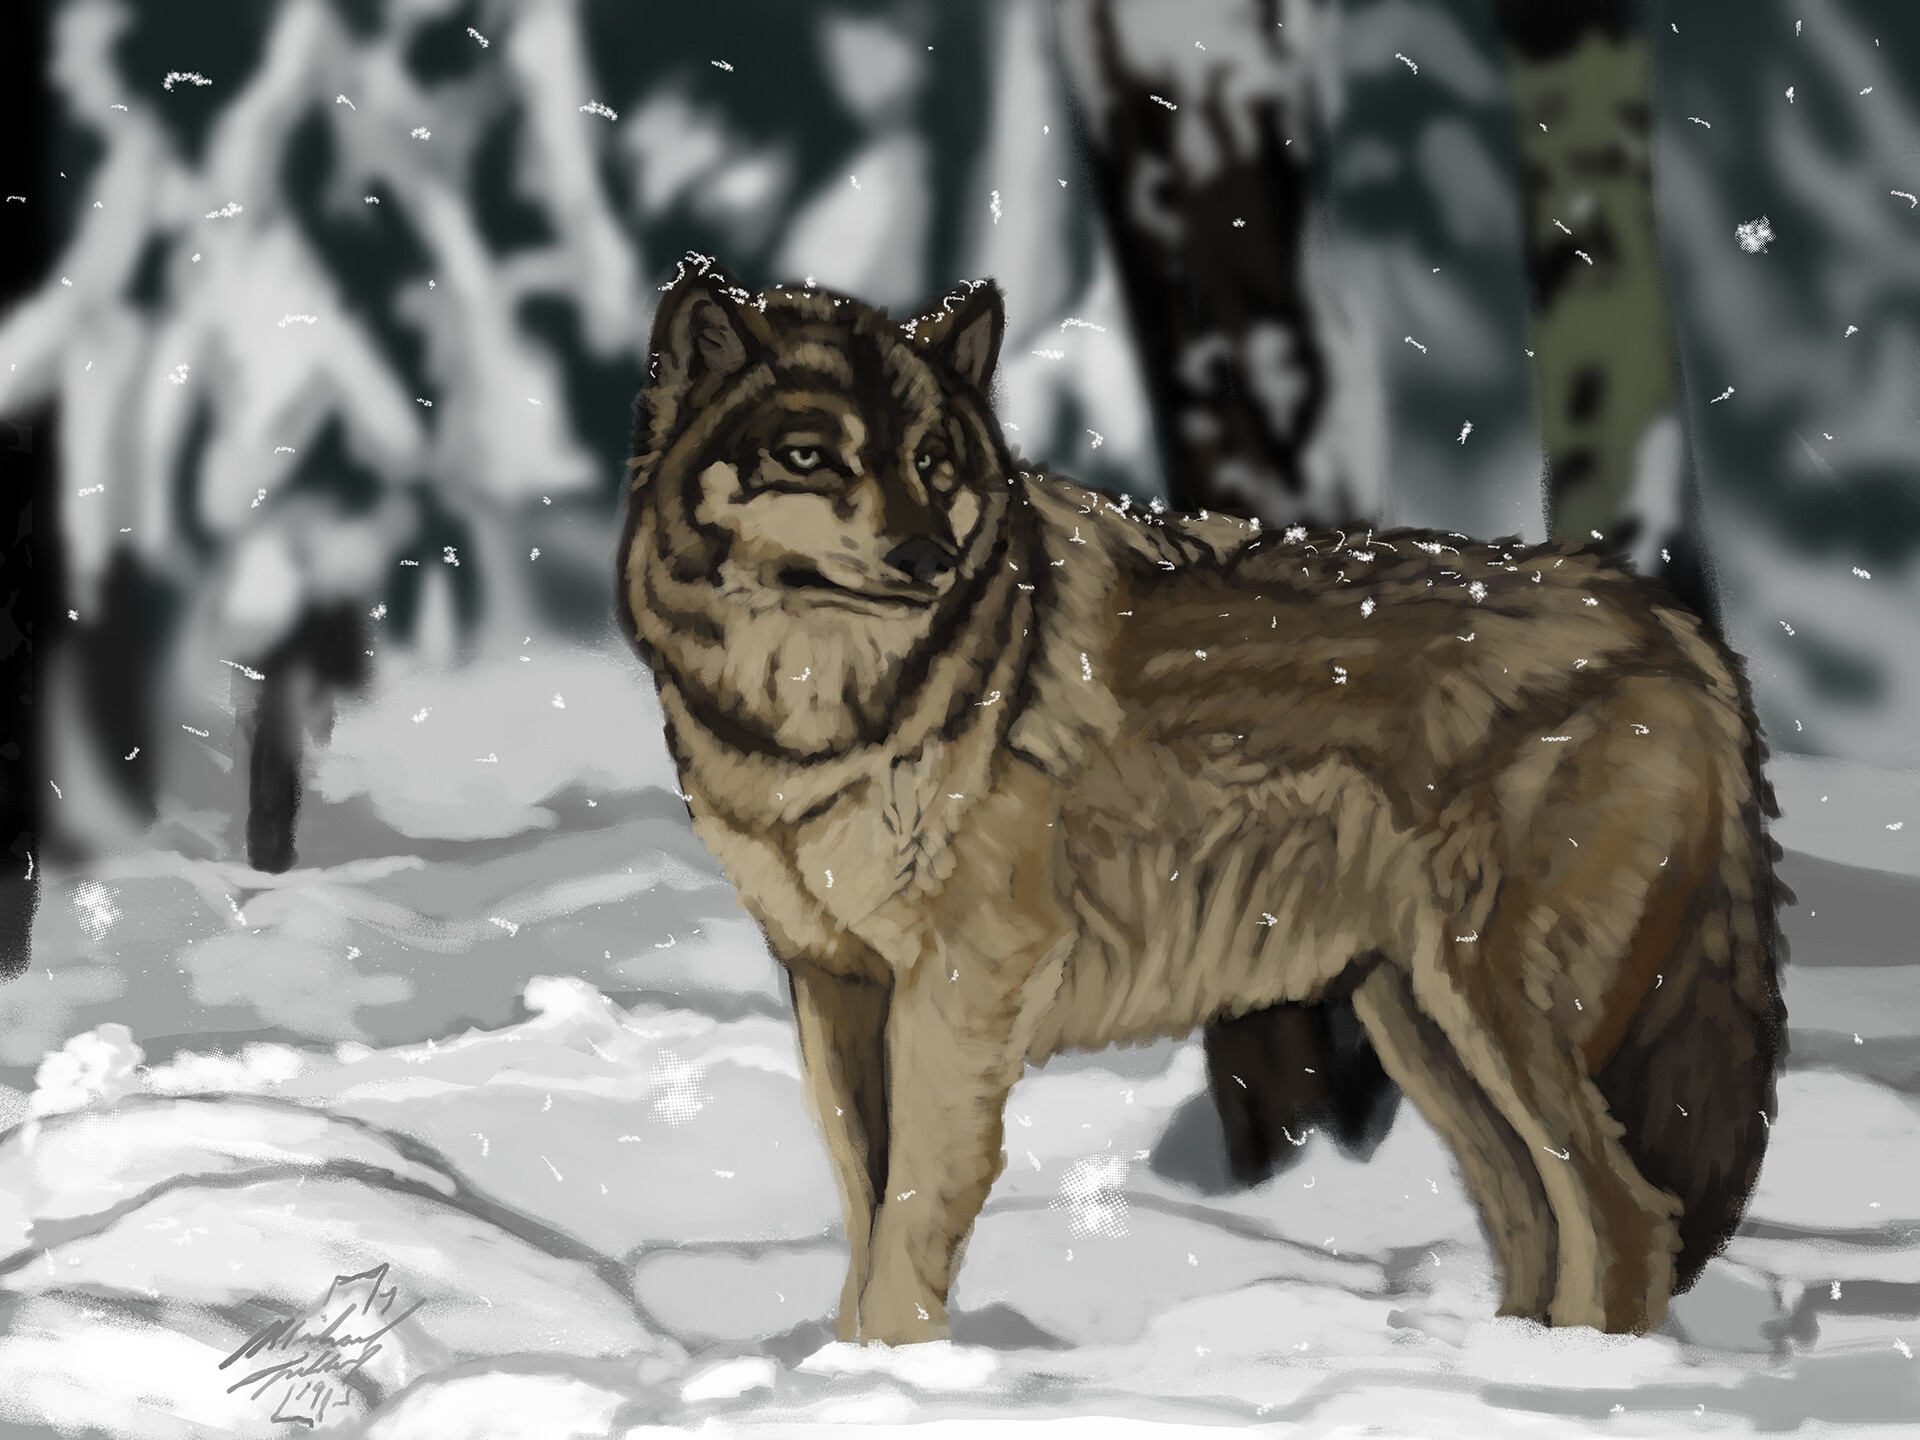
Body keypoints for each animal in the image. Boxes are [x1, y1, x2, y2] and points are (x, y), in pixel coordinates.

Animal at [616, 254, 1788, 1344]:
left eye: (932, 462)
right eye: (810, 458)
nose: (928, 557)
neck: (834, 727)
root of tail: (1666, 620)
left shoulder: (963, 983)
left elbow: (909, 1221)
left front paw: (903, 1374)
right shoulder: (833, 982)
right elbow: (864, 1212)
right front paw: (856, 1373)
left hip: (1492, 1009)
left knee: (1626, 1220)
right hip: (1419, 1025)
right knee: (1540, 1224)